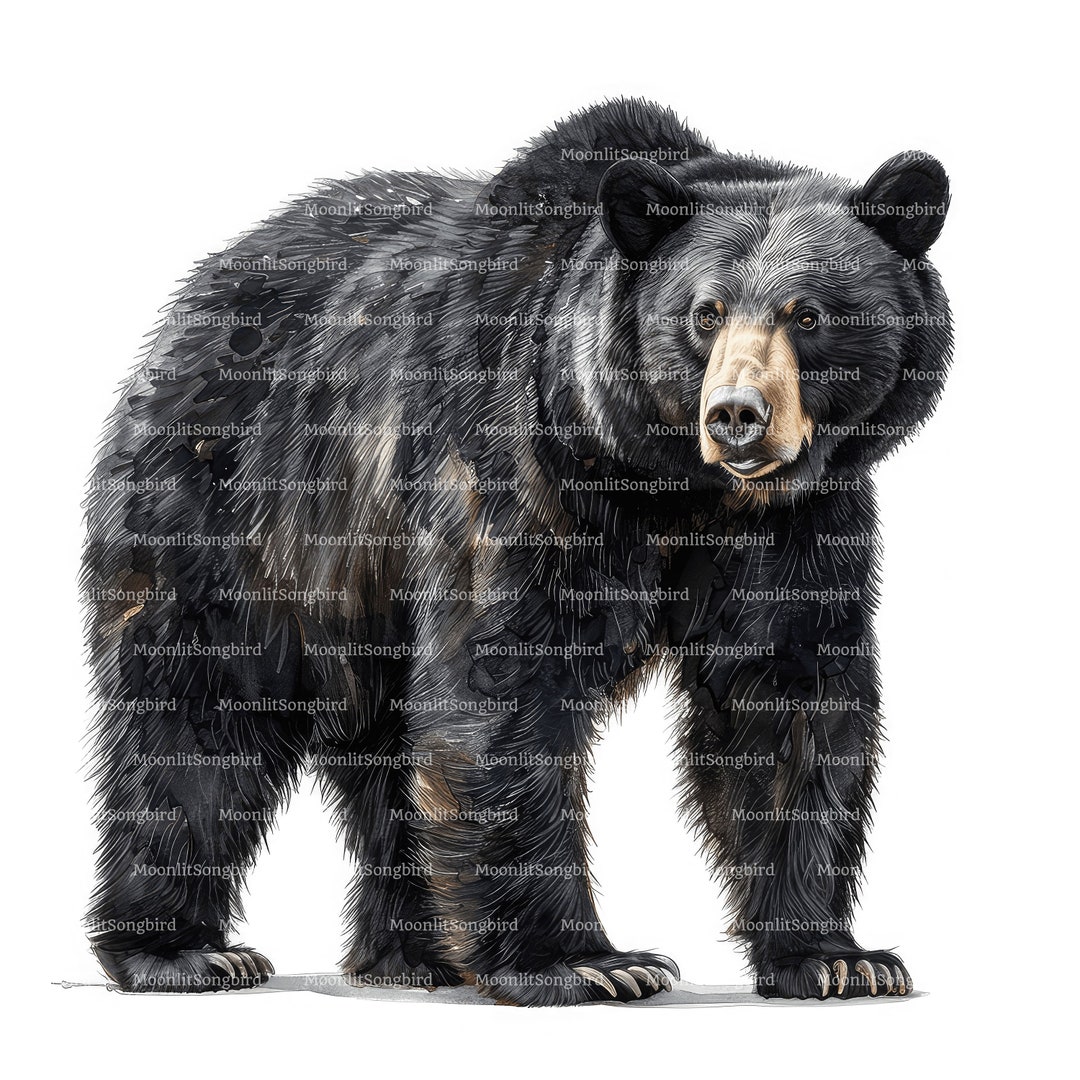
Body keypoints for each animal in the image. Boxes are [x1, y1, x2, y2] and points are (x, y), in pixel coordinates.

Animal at [83, 98, 951, 1004]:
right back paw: (185, 952)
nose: (737, 415)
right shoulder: (518, 466)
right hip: (233, 502)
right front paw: (589, 961)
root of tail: (195, 297)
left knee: (385, 749)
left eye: (808, 314)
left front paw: (837, 956)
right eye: (705, 312)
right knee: (198, 707)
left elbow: (785, 691)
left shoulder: (799, 522)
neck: (671, 484)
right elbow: (506, 677)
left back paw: (413, 954)